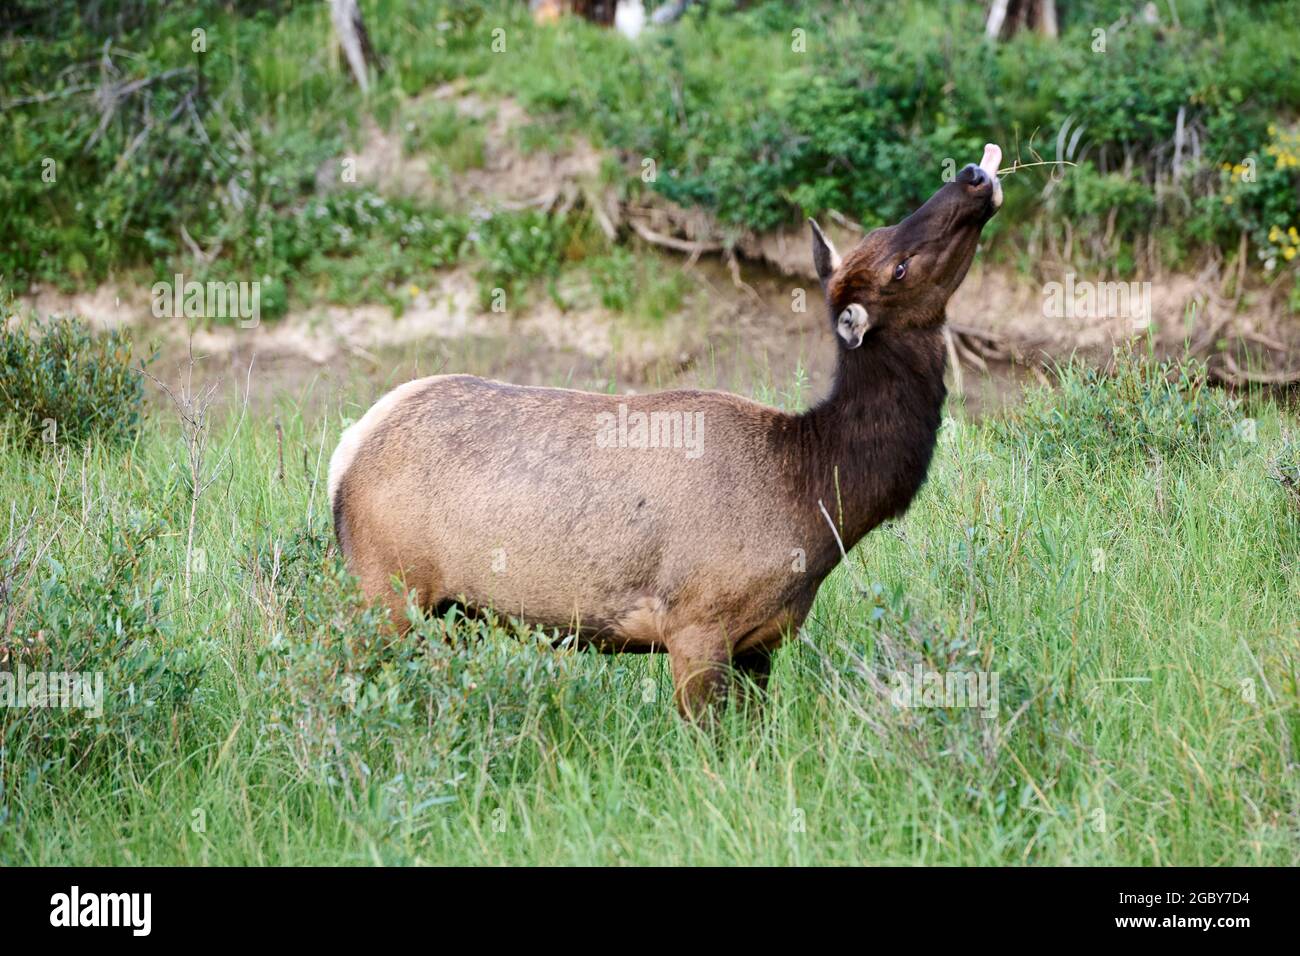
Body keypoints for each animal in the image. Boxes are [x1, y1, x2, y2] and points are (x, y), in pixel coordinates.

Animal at [328, 144, 1005, 721]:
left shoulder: (762, 644)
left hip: (451, 612)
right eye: (900, 266)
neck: (817, 496)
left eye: (883, 236)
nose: (974, 174)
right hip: (385, 591)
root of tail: (344, 454)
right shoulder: (696, 625)